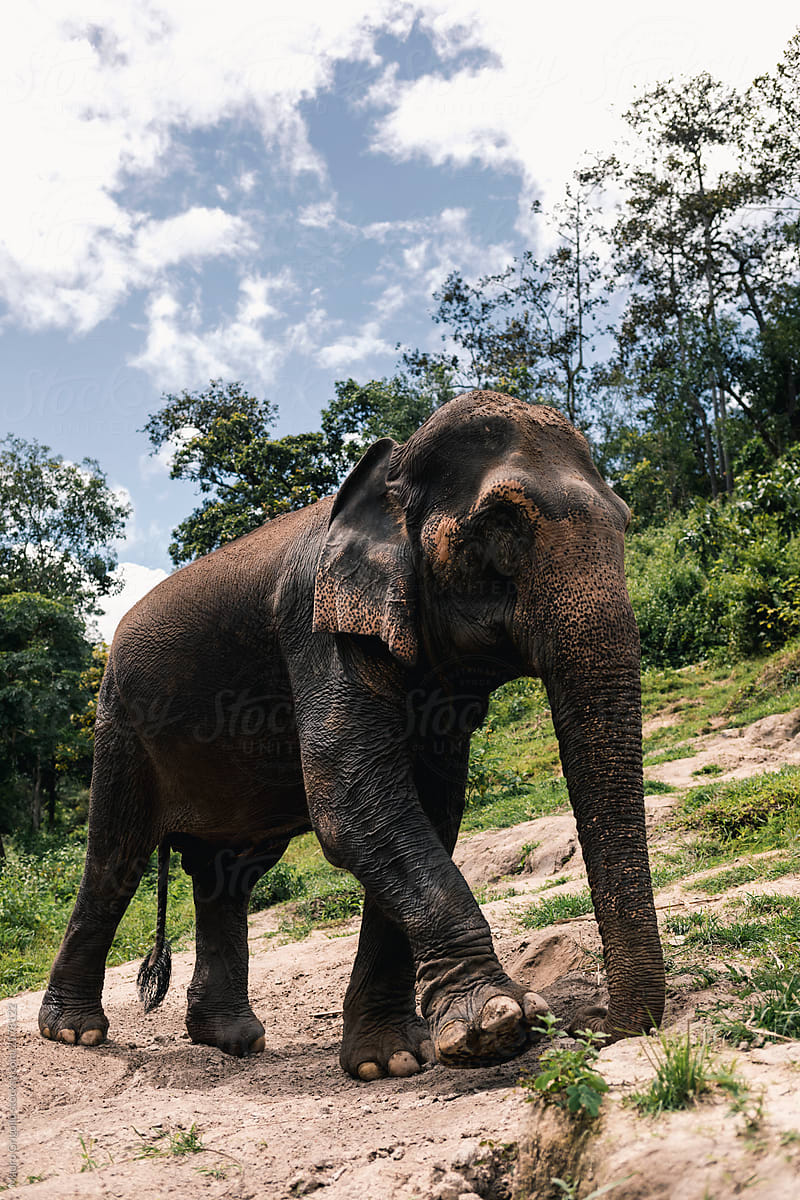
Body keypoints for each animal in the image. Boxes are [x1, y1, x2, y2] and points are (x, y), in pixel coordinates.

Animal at [38, 390, 664, 1079]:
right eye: (500, 522)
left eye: (625, 520)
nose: (598, 1024)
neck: (389, 473)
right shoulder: (315, 626)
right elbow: (352, 799)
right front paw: (495, 1027)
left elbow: (427, 808)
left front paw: (391, 1061)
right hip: (119, 723)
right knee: (117, 854)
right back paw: (74, 1033)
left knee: (230, 875)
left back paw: (232, 1040)